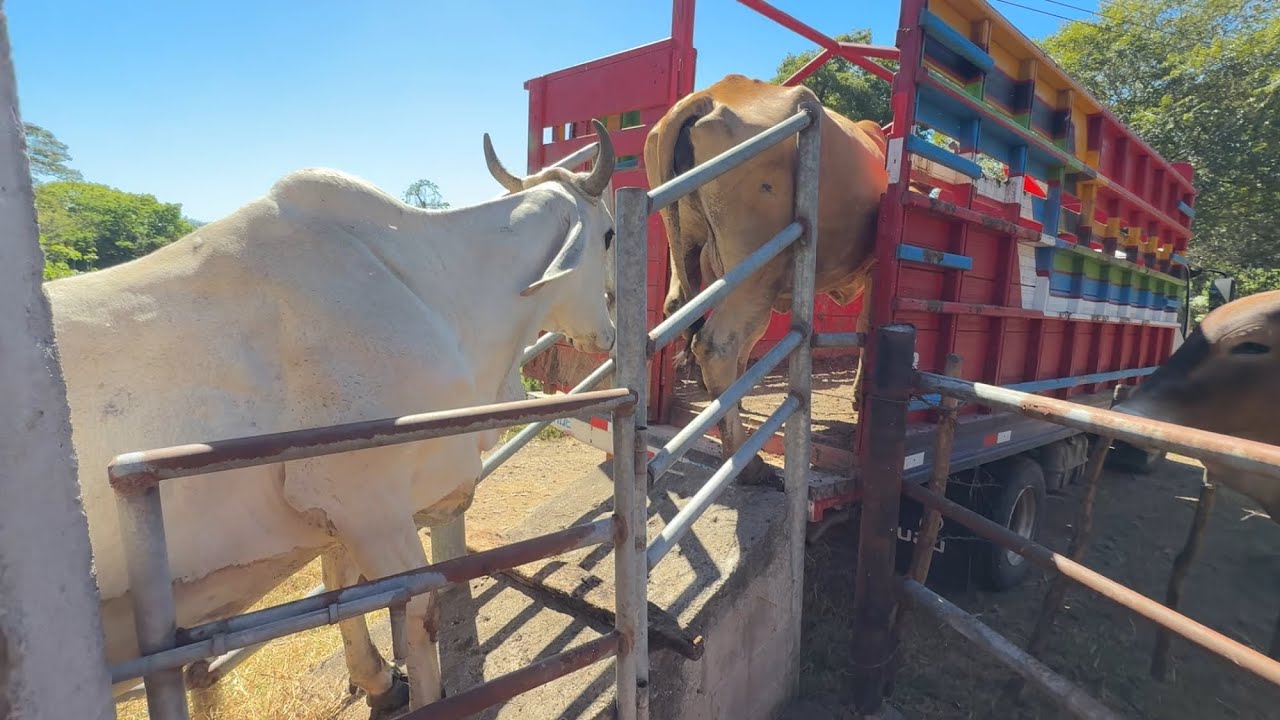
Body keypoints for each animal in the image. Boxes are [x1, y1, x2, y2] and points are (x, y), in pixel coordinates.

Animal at [44, 122, 617, 718]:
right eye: (608, 235)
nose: (609, 328)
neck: (434, 296)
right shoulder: (369, 501)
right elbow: (418, 609)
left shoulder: (338, 516)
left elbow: (342, 589)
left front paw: (379, 681)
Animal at [644, 74, 888, 485]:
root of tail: (710, 95)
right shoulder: (872, 269)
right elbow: (866, 326)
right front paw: (858, 395)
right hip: (756, 273)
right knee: (718, 346)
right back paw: (748, 463)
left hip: (693, 253)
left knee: (682, 311)